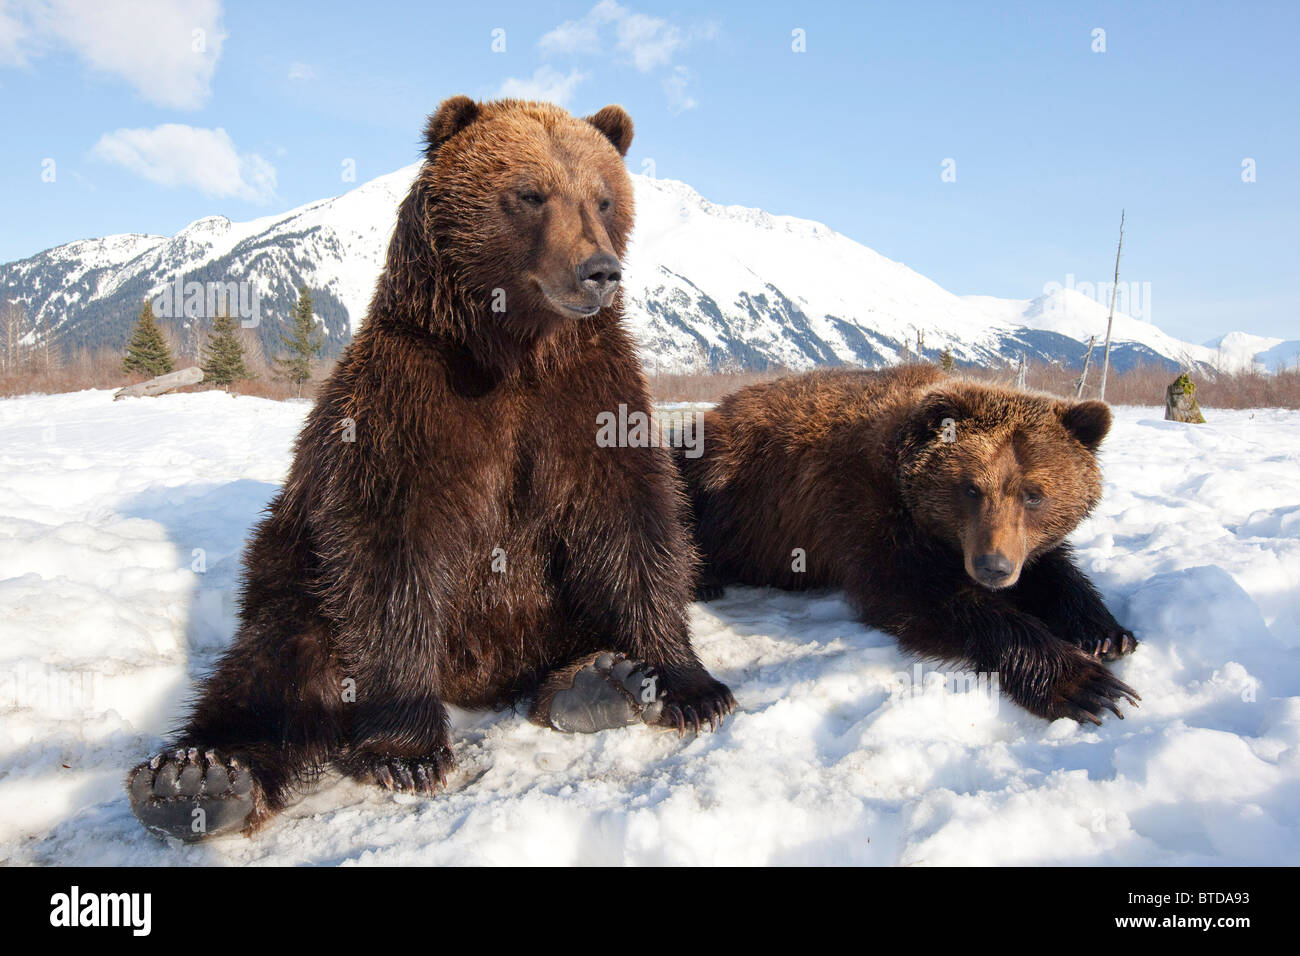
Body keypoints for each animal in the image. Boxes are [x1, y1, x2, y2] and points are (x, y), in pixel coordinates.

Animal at [127, 97, 734, 842]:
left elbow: (629, 519)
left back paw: (600, 680)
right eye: (529, 194)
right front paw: (407, 751)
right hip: (297, 575)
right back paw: (197, 778)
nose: (598, 270)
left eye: (602, 196)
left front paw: (689, 684)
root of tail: (477, 679)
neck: (514, 352)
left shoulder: (587, 397)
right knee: (274, 667)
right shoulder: (411, 402)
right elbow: (393, 550)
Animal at [677, 364, 1139, 724]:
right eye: (971, 489)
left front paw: (1104, 633)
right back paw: (706, 579)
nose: (993, 566)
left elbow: (1053, 568)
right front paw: (1086, 683)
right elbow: (925, 596)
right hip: (716, 474)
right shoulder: (867, 512)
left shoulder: (1011, 542)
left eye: (1034, 494)